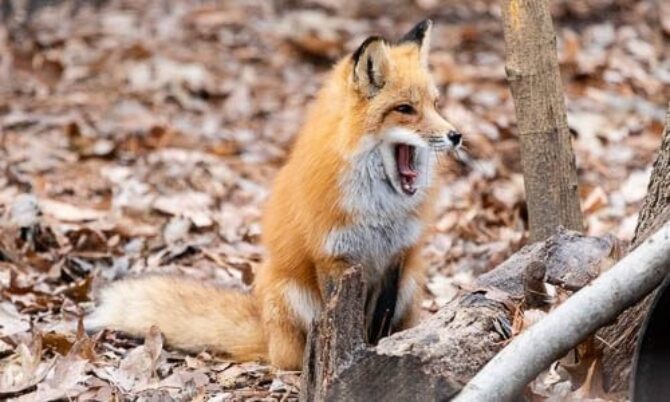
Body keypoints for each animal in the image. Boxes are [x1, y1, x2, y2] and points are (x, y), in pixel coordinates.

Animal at [86, 19, 463, 370]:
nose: (456, 135)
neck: (380, 211)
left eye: (435, 104)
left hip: (413, 280)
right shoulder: (333, 259)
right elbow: (342, 324)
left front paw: (378, 352)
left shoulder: (397, 257)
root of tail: (266, 336)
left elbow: (381, 322)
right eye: (405, 109)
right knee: (288, 358)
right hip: (288, 293)